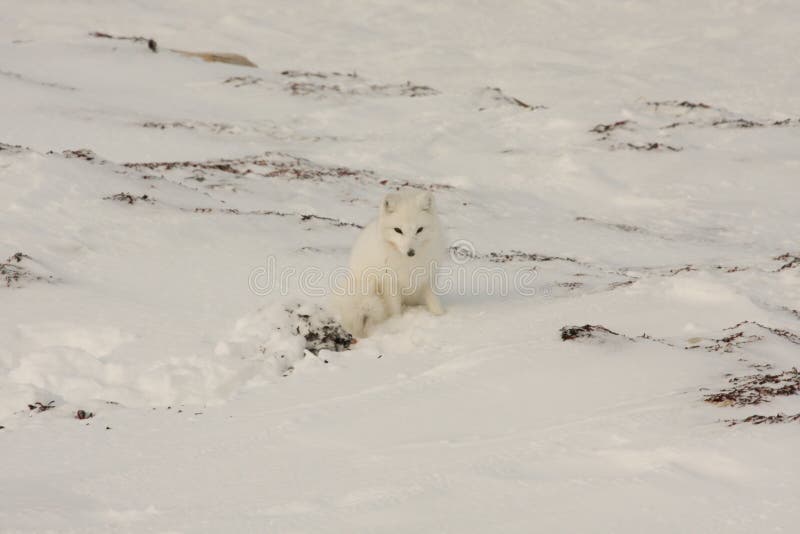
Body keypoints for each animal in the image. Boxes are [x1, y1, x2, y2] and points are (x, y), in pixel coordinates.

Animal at [338, 190, 445, 337]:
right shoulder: (390, 282)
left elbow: (433, 301)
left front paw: (440, 317)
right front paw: (397, 322)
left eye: (419, 229)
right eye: (398, 230)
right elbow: (395, 308)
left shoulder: (428, 278)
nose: (411, 252)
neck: (408, 263)